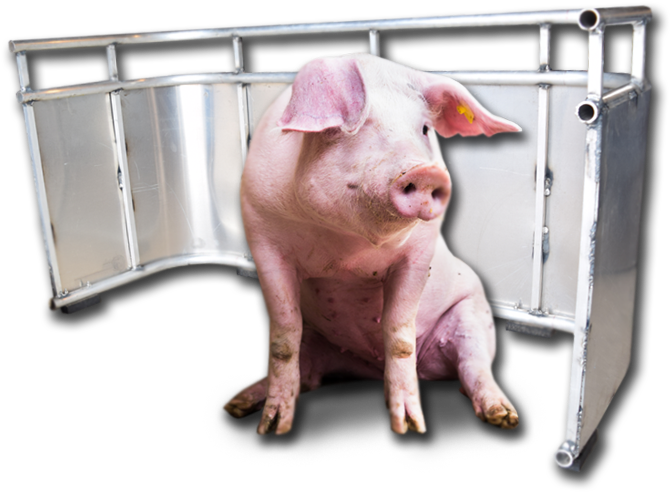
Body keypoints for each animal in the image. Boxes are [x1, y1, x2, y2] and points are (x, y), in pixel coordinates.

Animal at [222, 52, 521, 435]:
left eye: (424, 129)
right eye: (362, 124)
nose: (426, 173)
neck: (347, 250)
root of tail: (367, 368)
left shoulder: (419, 253)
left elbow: (399, 337)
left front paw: (408, 426)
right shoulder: (263, 239)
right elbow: (283, 338)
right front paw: (273, 428)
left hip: (473, 316)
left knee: (473, 367)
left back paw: (504, 417)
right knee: (309, 374)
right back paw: (237, 403)